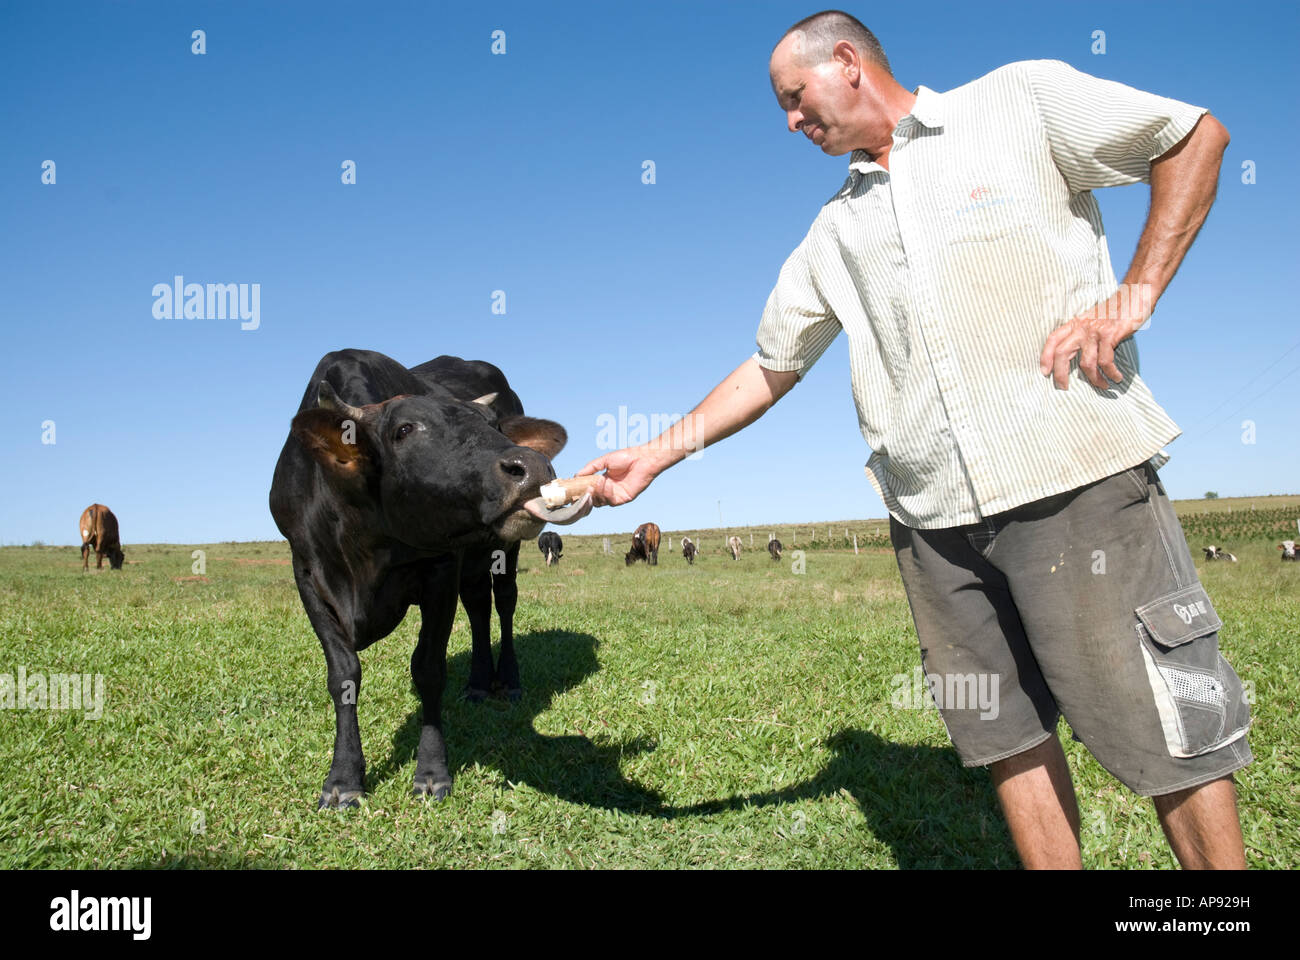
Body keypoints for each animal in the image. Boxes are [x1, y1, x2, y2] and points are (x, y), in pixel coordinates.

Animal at [269, 349, 586, 808]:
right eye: (404, 430)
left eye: (493, 426)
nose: (533, 467)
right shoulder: (308, 575)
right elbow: (343, 674)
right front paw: (343, 777)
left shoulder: (441, 569)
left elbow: (428, 668)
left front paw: (432, 771)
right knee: (478, 607)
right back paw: (478, 683)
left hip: (502, 551)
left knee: (504, 604)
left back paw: (506, 680)